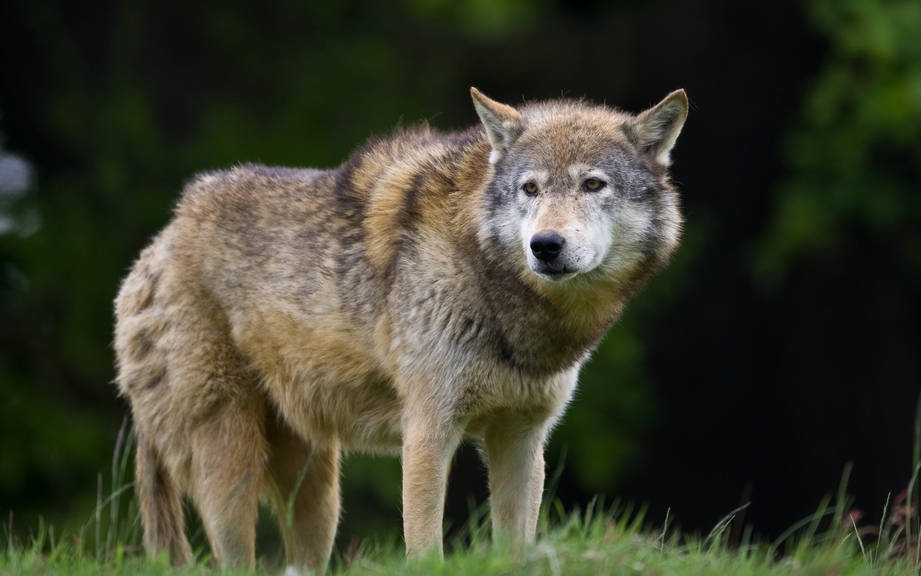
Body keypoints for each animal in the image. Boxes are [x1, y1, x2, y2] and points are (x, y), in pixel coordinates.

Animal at [114, 86, 688, 571]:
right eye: (530, 188)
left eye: (593, 184)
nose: (544, 245)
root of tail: (159, 241)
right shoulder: (429, 432)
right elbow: (426, 551)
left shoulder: (522, 438)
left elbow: (516, 549)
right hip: (232, 471)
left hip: (319, 494)